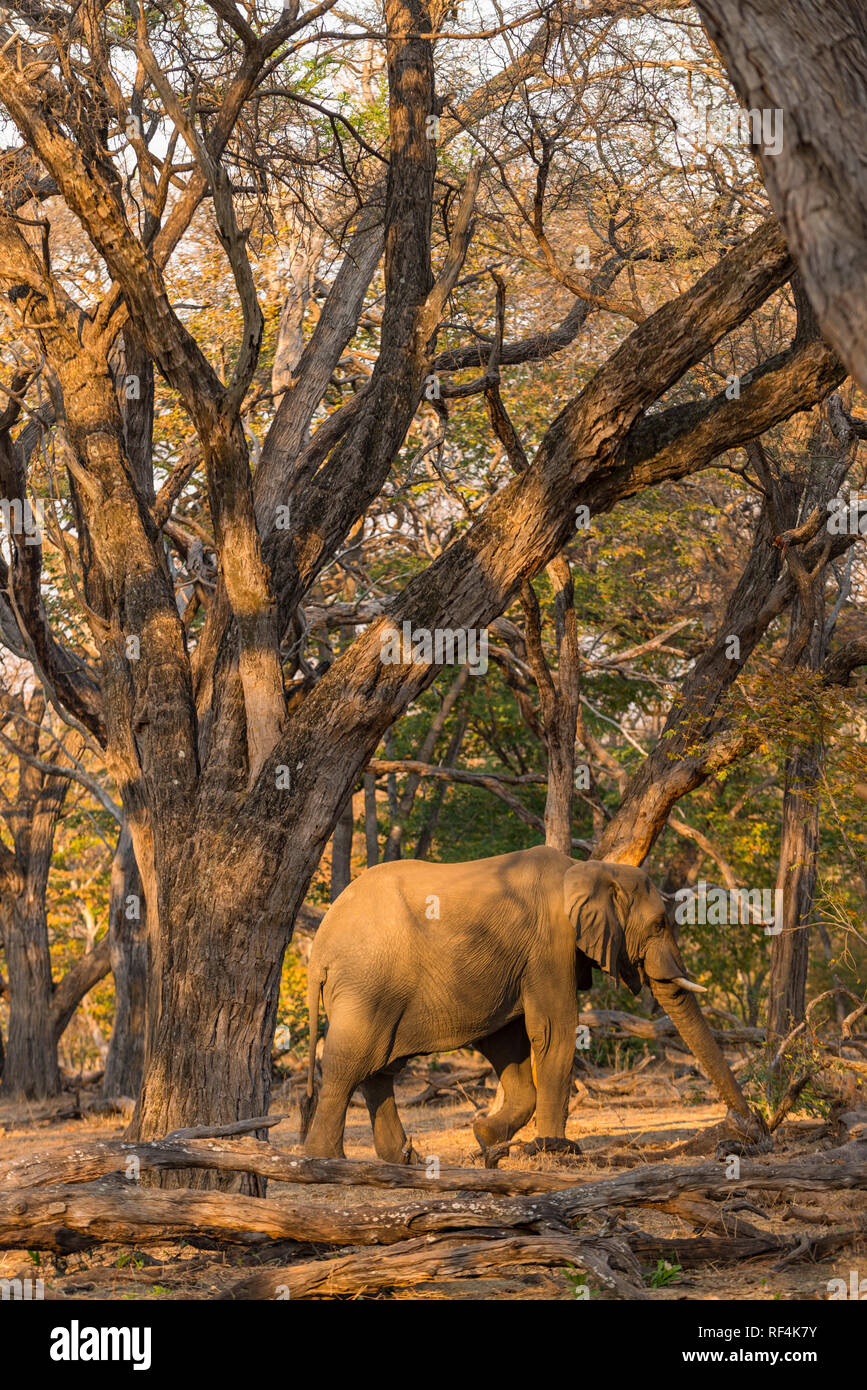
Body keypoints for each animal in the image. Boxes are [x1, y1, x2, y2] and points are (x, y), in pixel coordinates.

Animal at [300, 846, 764, 1160]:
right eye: (659, 924)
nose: (754, 1131)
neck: (587, 869)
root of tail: (318, 947)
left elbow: (509, 1040)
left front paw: (485, 1135)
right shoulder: (549, 943)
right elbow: (554, 1031)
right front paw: (555, 1148)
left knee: (379, 1070)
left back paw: (403, 1160)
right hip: (367, 983)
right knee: (349, 1063)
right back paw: (326, 1160)